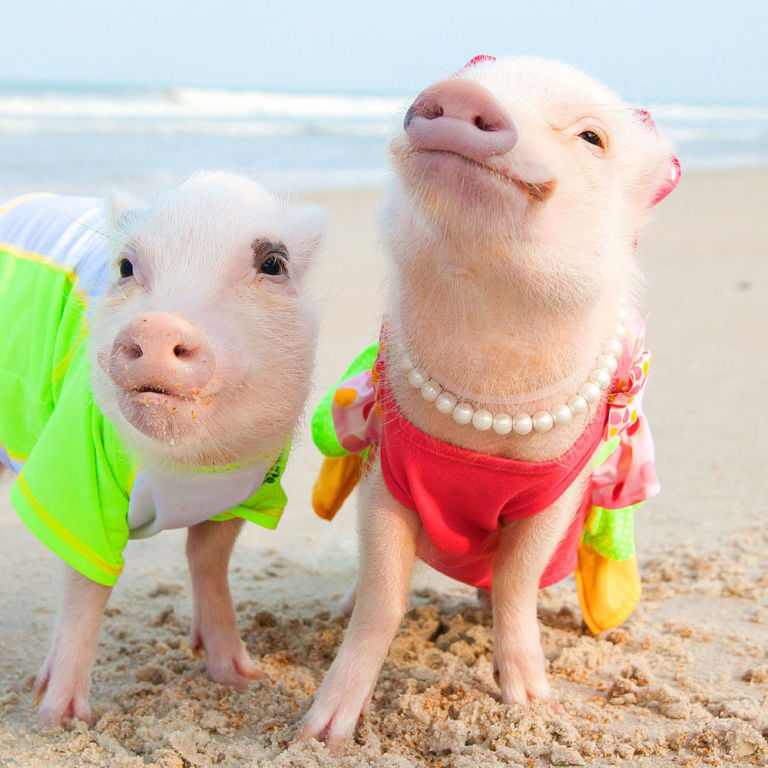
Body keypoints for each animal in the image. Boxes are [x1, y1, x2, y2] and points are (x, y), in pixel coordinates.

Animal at [0, 172, 324, 725]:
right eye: (126, 267)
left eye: (272, 264)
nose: (157, 325)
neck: (184, 469)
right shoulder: (73, 477)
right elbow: (88, 581)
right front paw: (59, 719)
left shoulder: (249, 489)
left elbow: (209, 559)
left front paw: (241, 677)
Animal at [300, 56, 678, 748]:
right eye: (472, 75)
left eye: (592, 137)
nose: (458, 91)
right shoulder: (384, 474)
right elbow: (384, 595)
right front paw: (321, 731)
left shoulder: (557, 492)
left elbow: (515, 582)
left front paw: (531, 704)